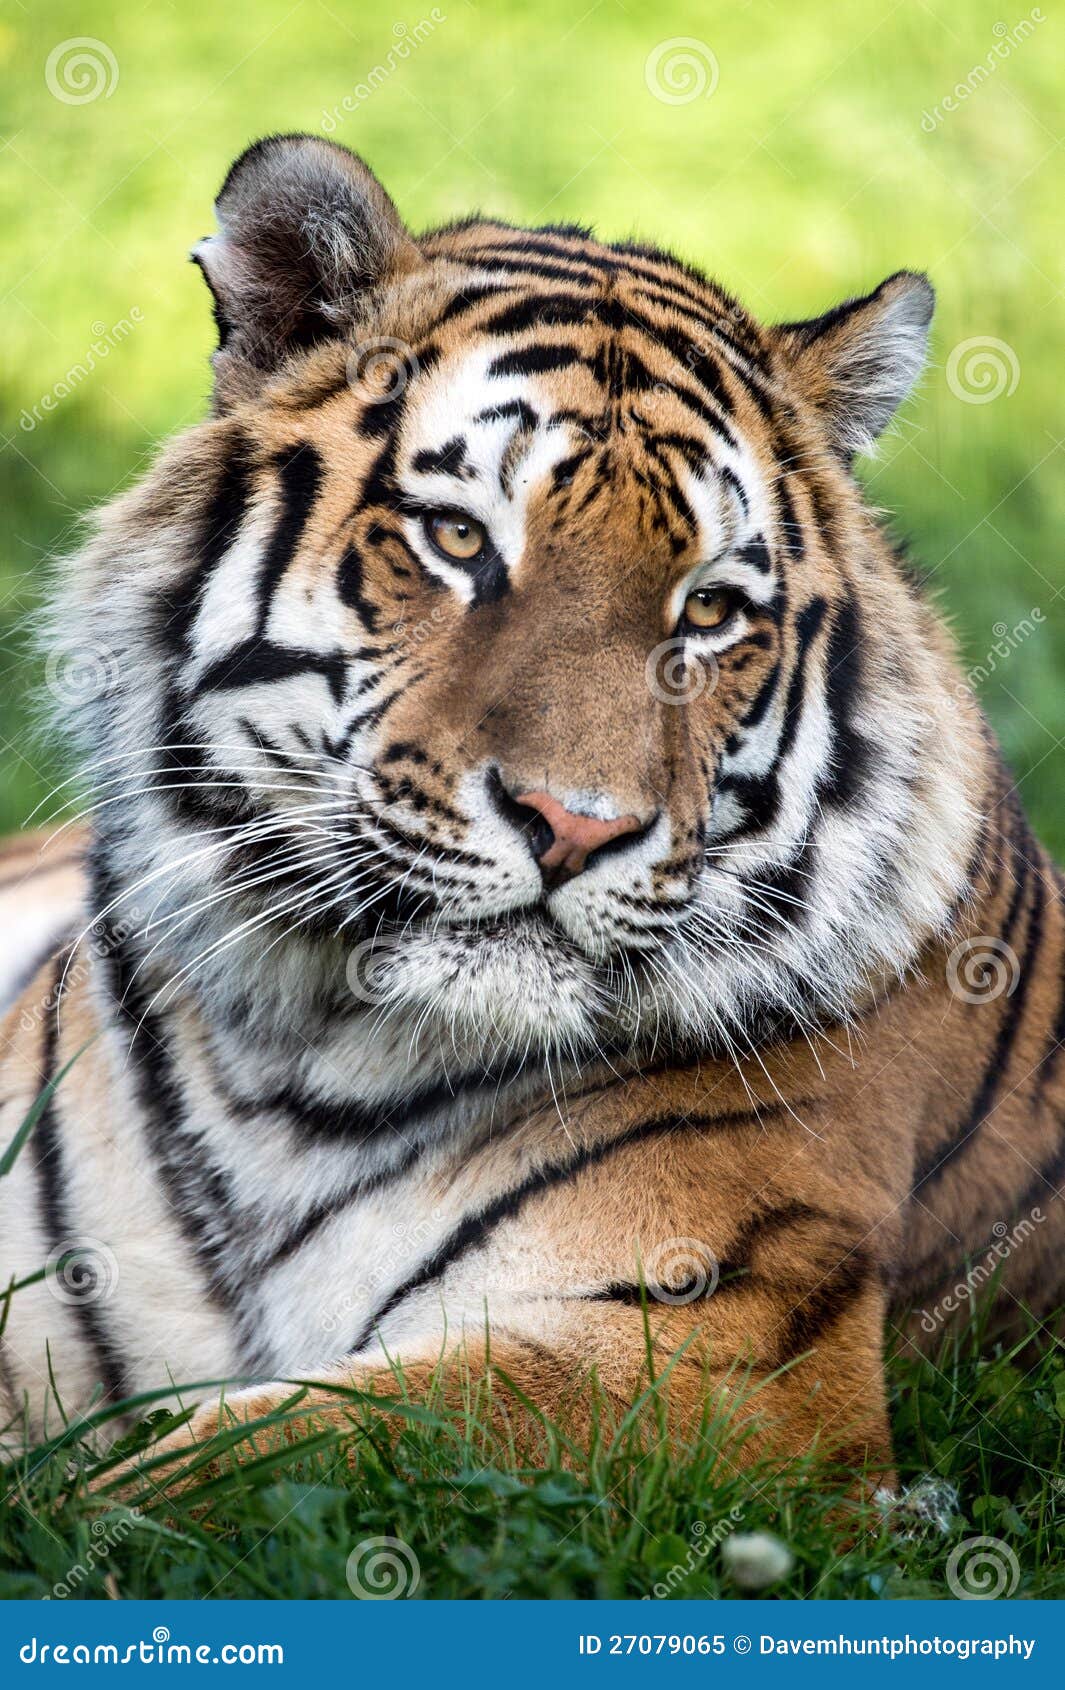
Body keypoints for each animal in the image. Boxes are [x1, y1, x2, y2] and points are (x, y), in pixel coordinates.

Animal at [1, 132, 1062, 1500]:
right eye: (459, 536)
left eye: (709, 609)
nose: (574, 824)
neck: (291, 1075)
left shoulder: (716, 1363)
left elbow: (250, 1457)